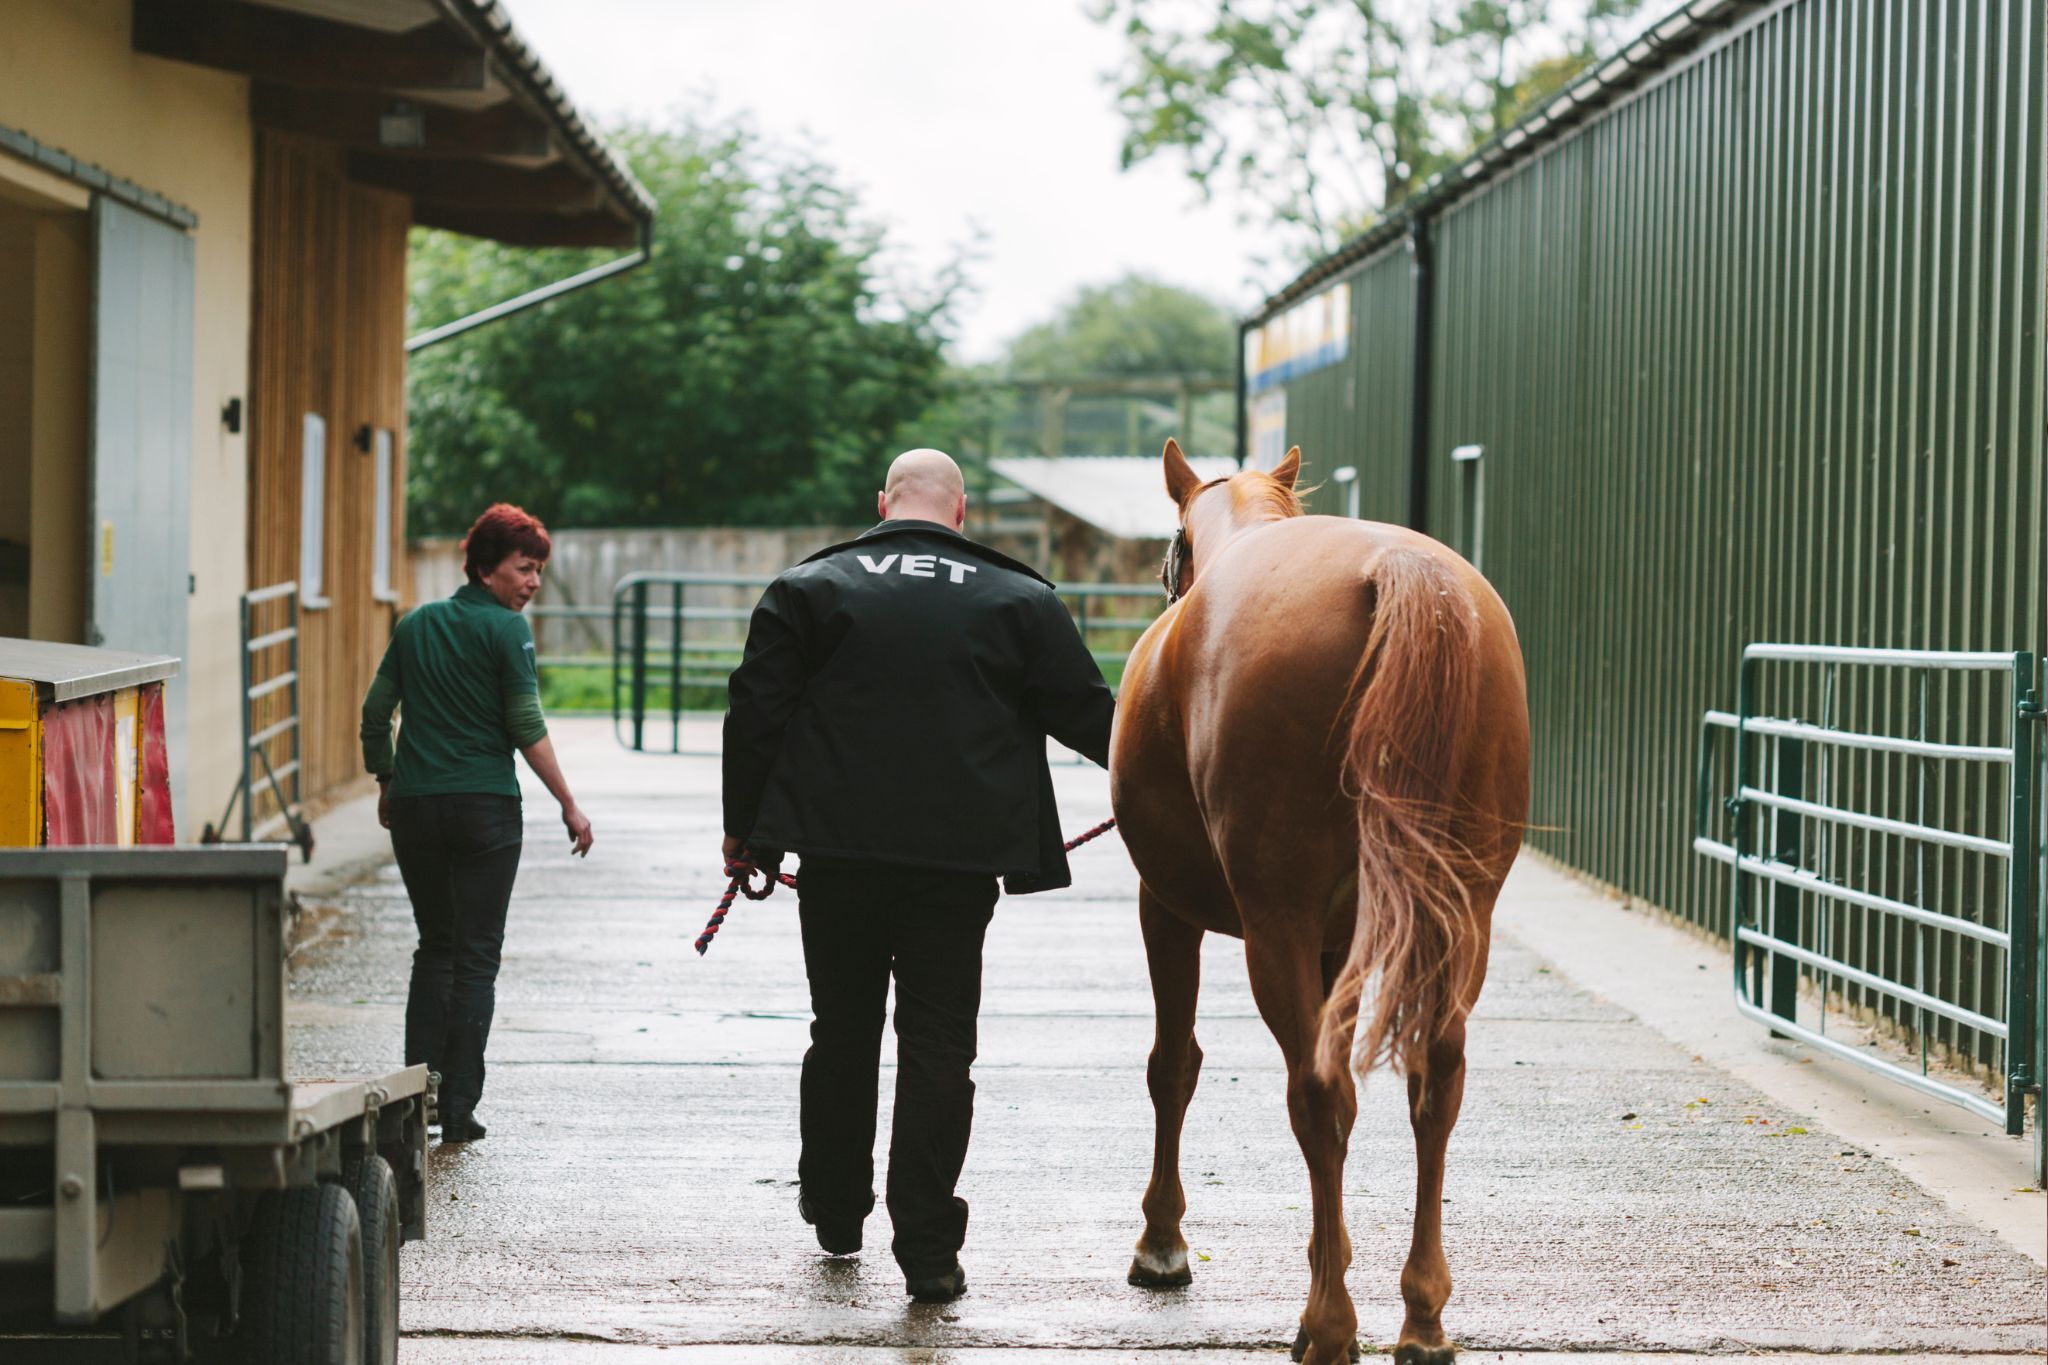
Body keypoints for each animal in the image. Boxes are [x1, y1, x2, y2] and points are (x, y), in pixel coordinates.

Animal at [1109, 439, 1531, 1365]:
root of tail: (1397, 571)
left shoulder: (1168, 908)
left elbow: (1172, 1064)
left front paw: (1162, 1244)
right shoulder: (1340, 942)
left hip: (1277, 925)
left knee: (1318, 1091)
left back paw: (1331, 1323)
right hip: (1463, 919)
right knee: (1434, 1082)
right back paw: (1420, 1317)